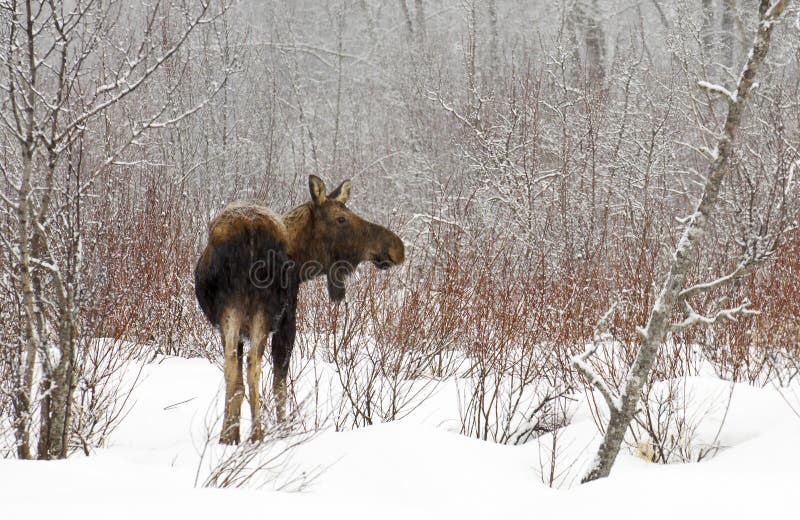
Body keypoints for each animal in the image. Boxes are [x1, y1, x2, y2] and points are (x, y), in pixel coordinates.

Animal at [194, 175, 405, 444]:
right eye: (341, 218)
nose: (397, 247)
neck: (301, 260)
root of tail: (249, 233)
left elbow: (238, 379)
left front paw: (231, 436)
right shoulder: (287, 319)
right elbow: (279, 384)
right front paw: (283, 431)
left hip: (231, 309)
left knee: (232, 368)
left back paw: (229, 437)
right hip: (263, 309)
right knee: (255, 366)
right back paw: (258, 435)